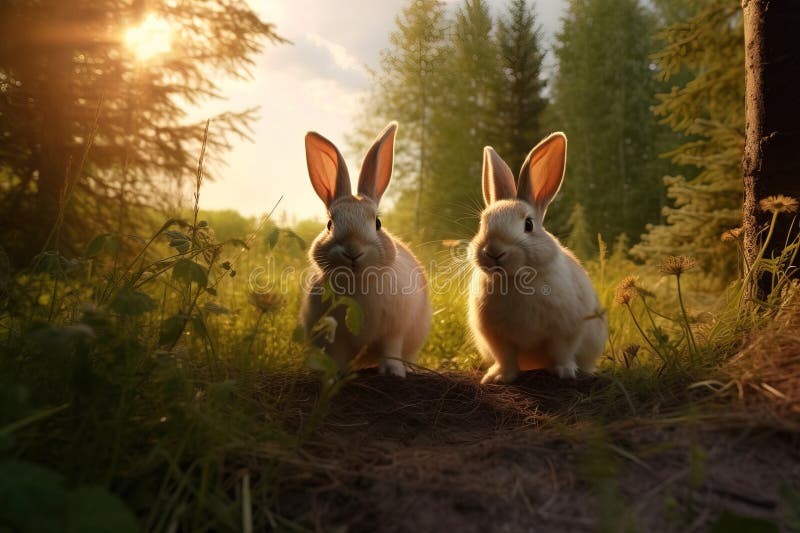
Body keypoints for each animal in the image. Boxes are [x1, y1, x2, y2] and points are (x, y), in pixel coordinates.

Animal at [300, 122, 432, 377]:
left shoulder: (394, 331)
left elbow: (391, 349)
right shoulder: (337, 337)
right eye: (329, 224)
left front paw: (393, 372)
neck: (358, 280)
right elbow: (337, 356)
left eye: (378, 223)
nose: (353, 250)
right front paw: (334, 375)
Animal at [468, 132, 607, 384]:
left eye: (528, 225)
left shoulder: (564, 330)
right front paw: (499, 377)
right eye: (482, 223)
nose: (494, 251)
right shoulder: (497, 338)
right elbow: (505, 358)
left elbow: (561, 352)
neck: (515, 279)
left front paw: (564, 372)